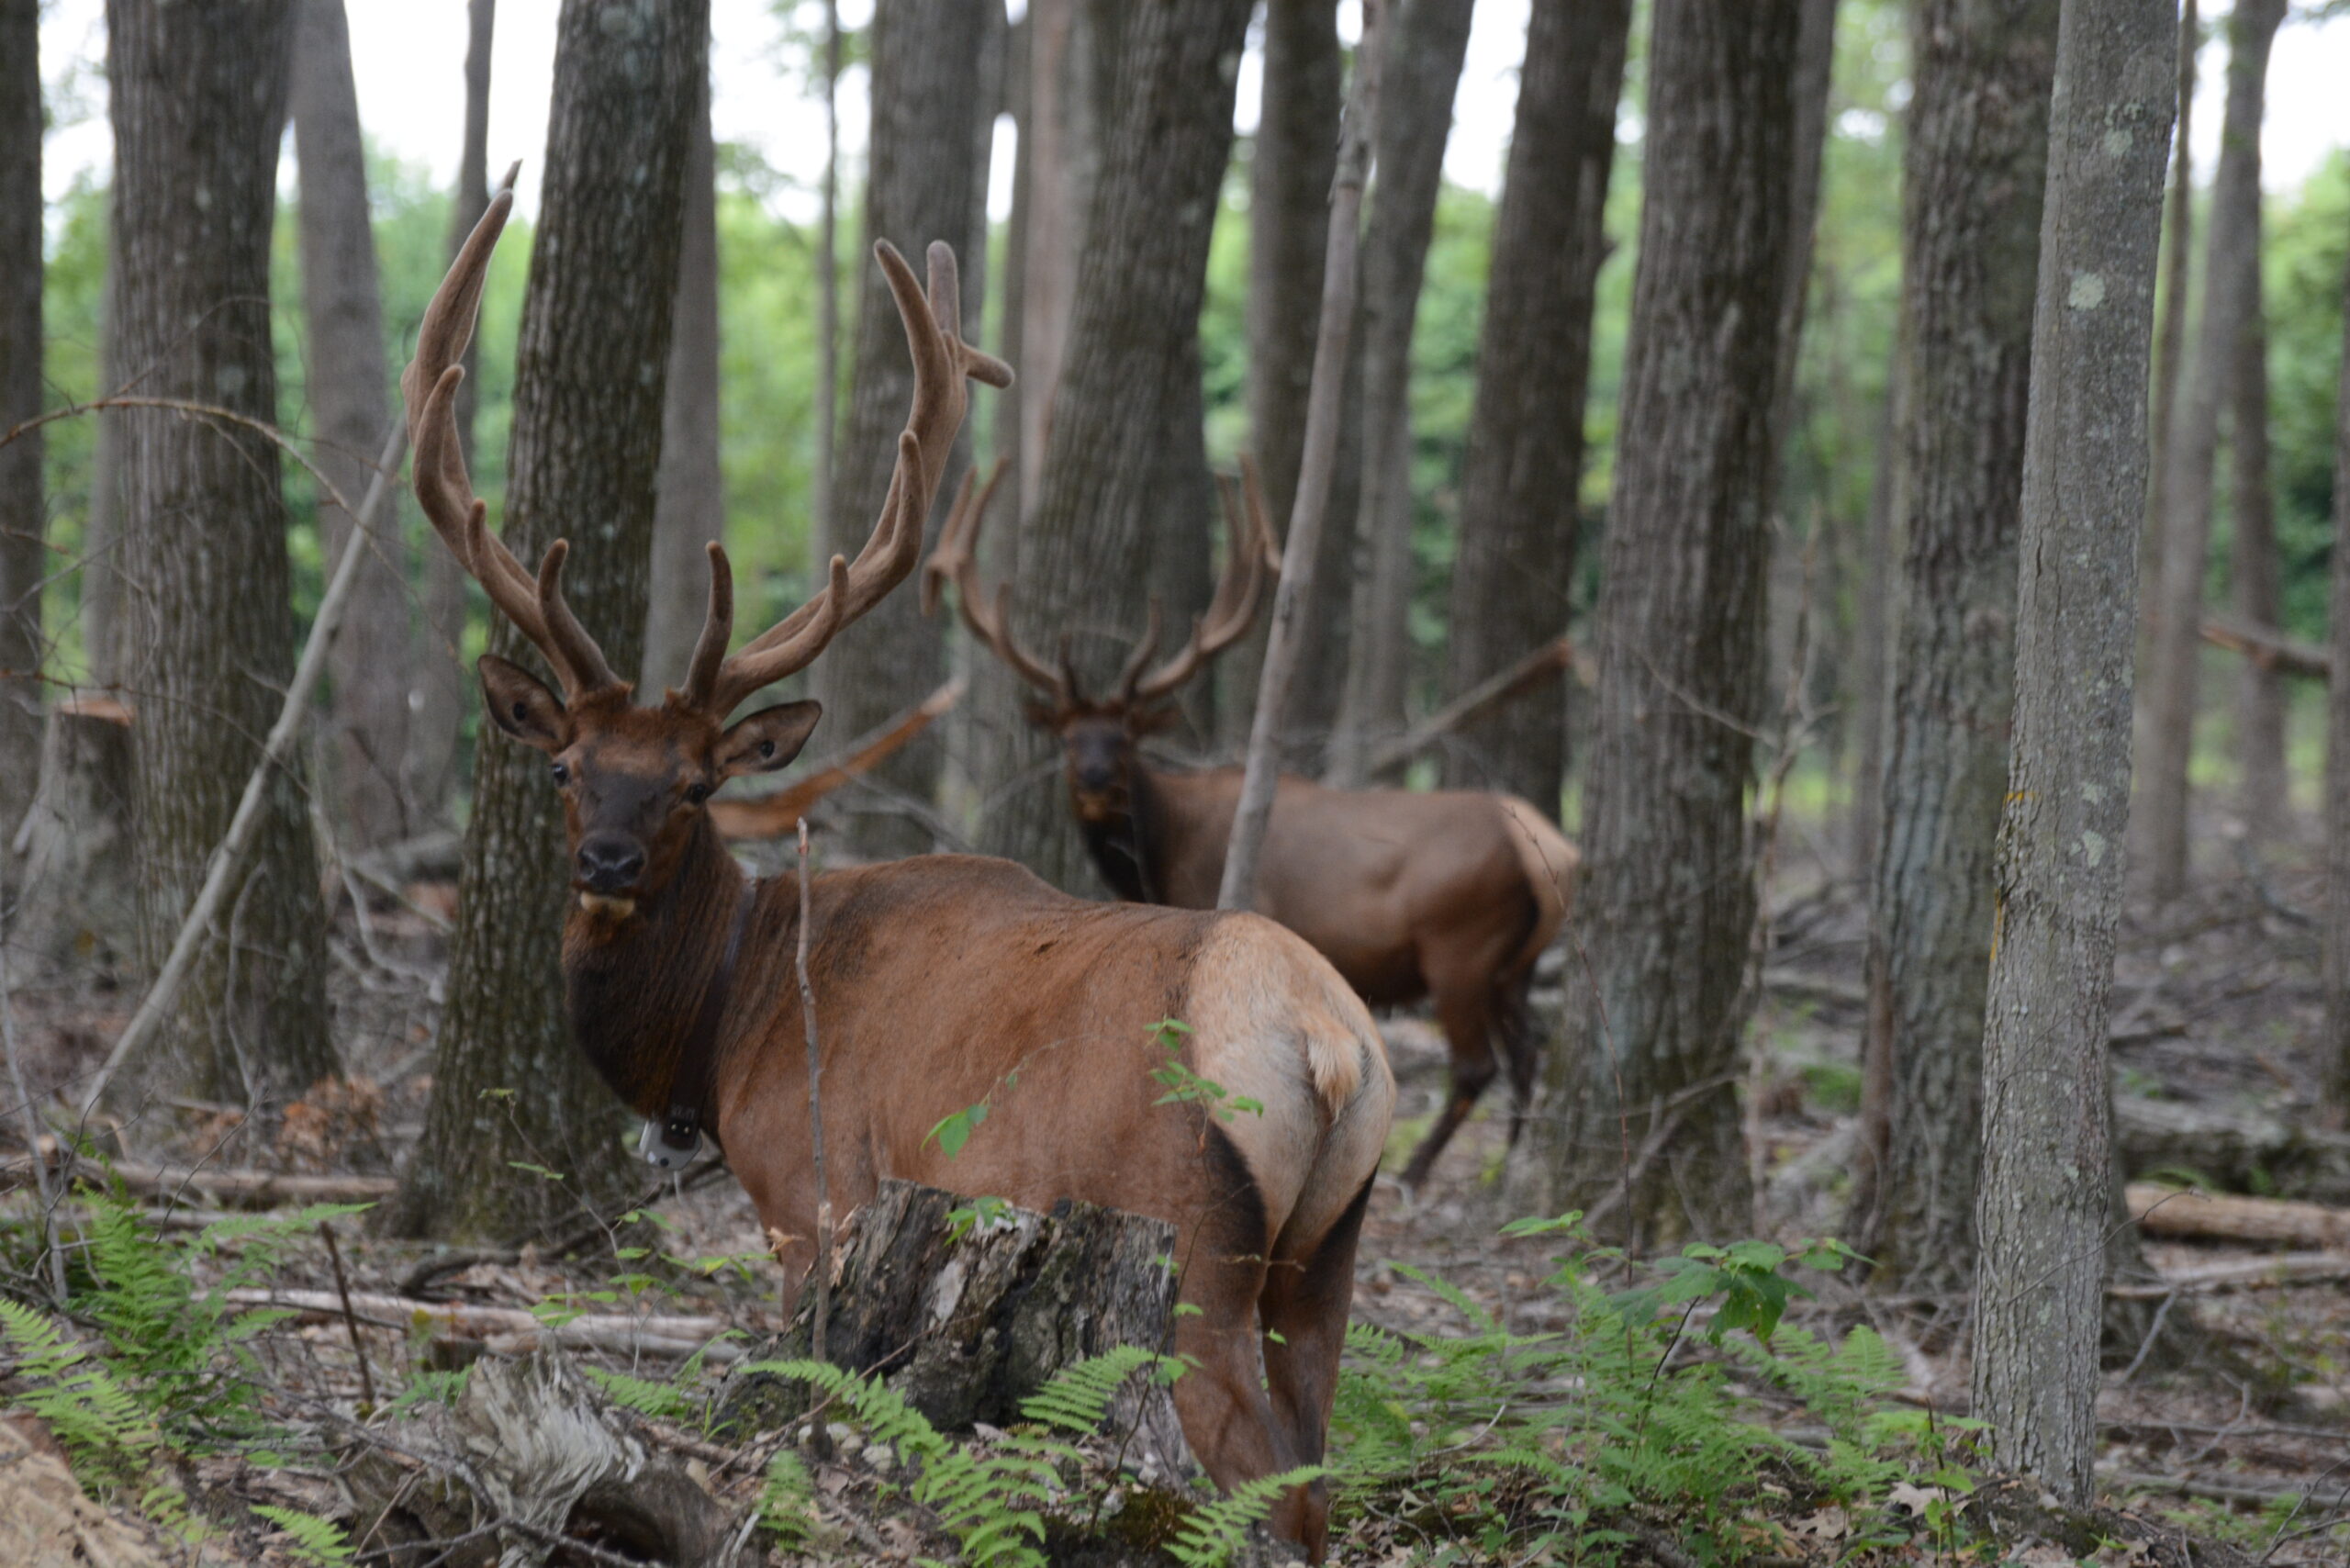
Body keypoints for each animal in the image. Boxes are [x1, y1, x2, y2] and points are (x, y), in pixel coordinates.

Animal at [405, 179, 1392, 1560]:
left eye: (696, 785)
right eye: (564, 768)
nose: (606, 856)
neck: (723, 1028)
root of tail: (1329, 1042)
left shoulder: (809, 1190)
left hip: (1189, 1227)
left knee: (1254, 1465)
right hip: (1331, 1249)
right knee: (1315, 1465)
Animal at [926, 461, 1576, 1193]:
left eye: (1124, 740)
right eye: (1068, 739)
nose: (1095, 782)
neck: (1161, 848)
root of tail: (1549, 853)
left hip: (1458, 946)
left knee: (1477, 1064)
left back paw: (1415, 1176)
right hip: (1513, 964)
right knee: (1528, 1052)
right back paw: (1511, 1167)